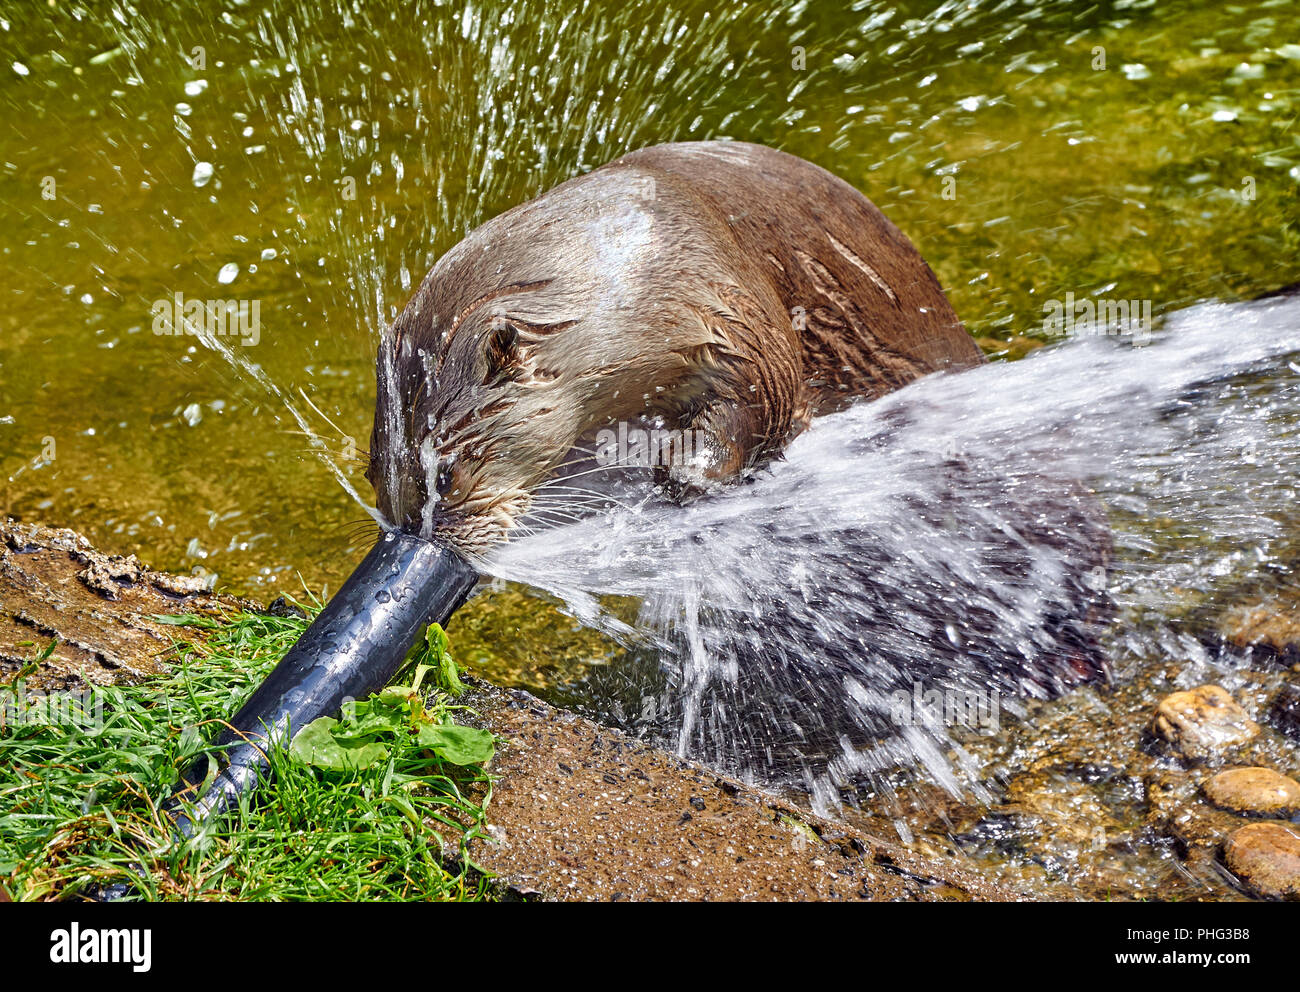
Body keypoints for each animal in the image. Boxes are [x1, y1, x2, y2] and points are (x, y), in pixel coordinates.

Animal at [169, 141, 1107, 828]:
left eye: (444, 471)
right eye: (376, 470)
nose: (422, 541)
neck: (628, 269)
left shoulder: (730, 311)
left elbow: (765, 402)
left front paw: (685, 478)